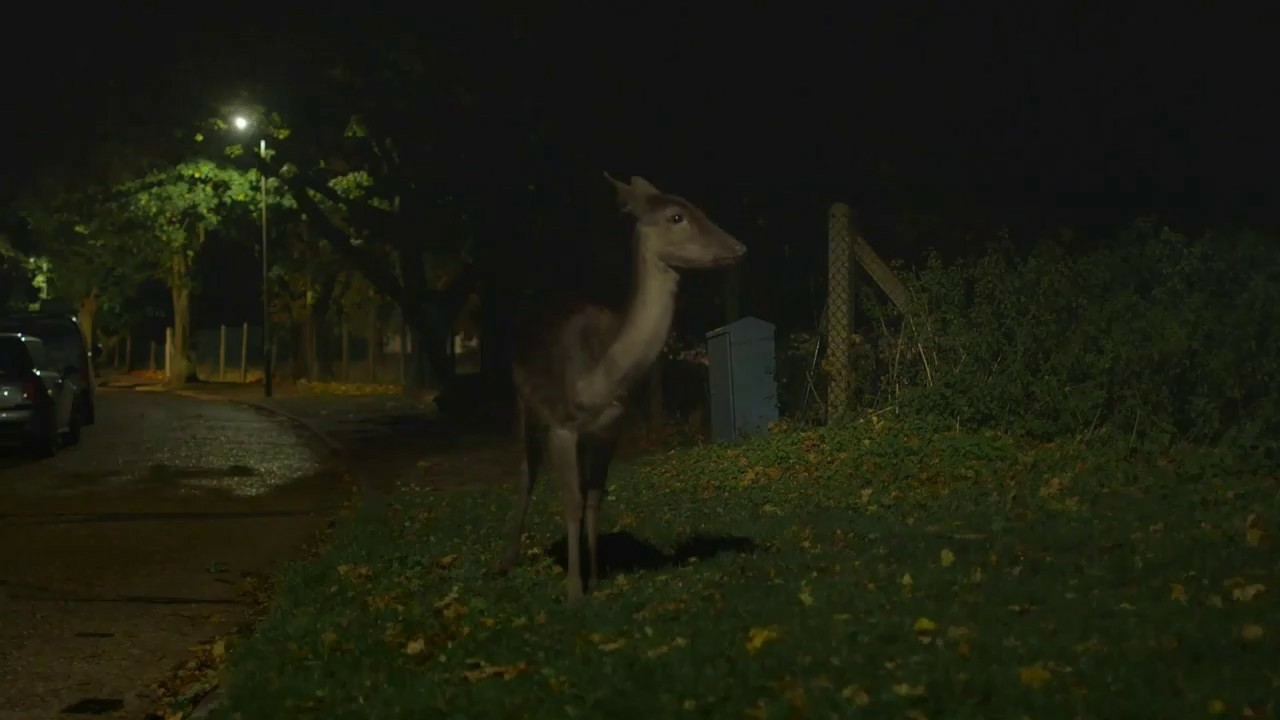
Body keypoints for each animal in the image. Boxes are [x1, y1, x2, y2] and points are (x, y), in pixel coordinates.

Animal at [496, 173, 746, 605]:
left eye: (695, 205)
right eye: (676, 216)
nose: (737, 248)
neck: (602, 377)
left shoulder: (611, 428)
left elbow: (595, 498)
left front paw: (597, 578)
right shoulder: (562, 424)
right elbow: (571, 501)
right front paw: (574, 591)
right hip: (523, 404)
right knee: (526, 474)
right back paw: (507, 561)